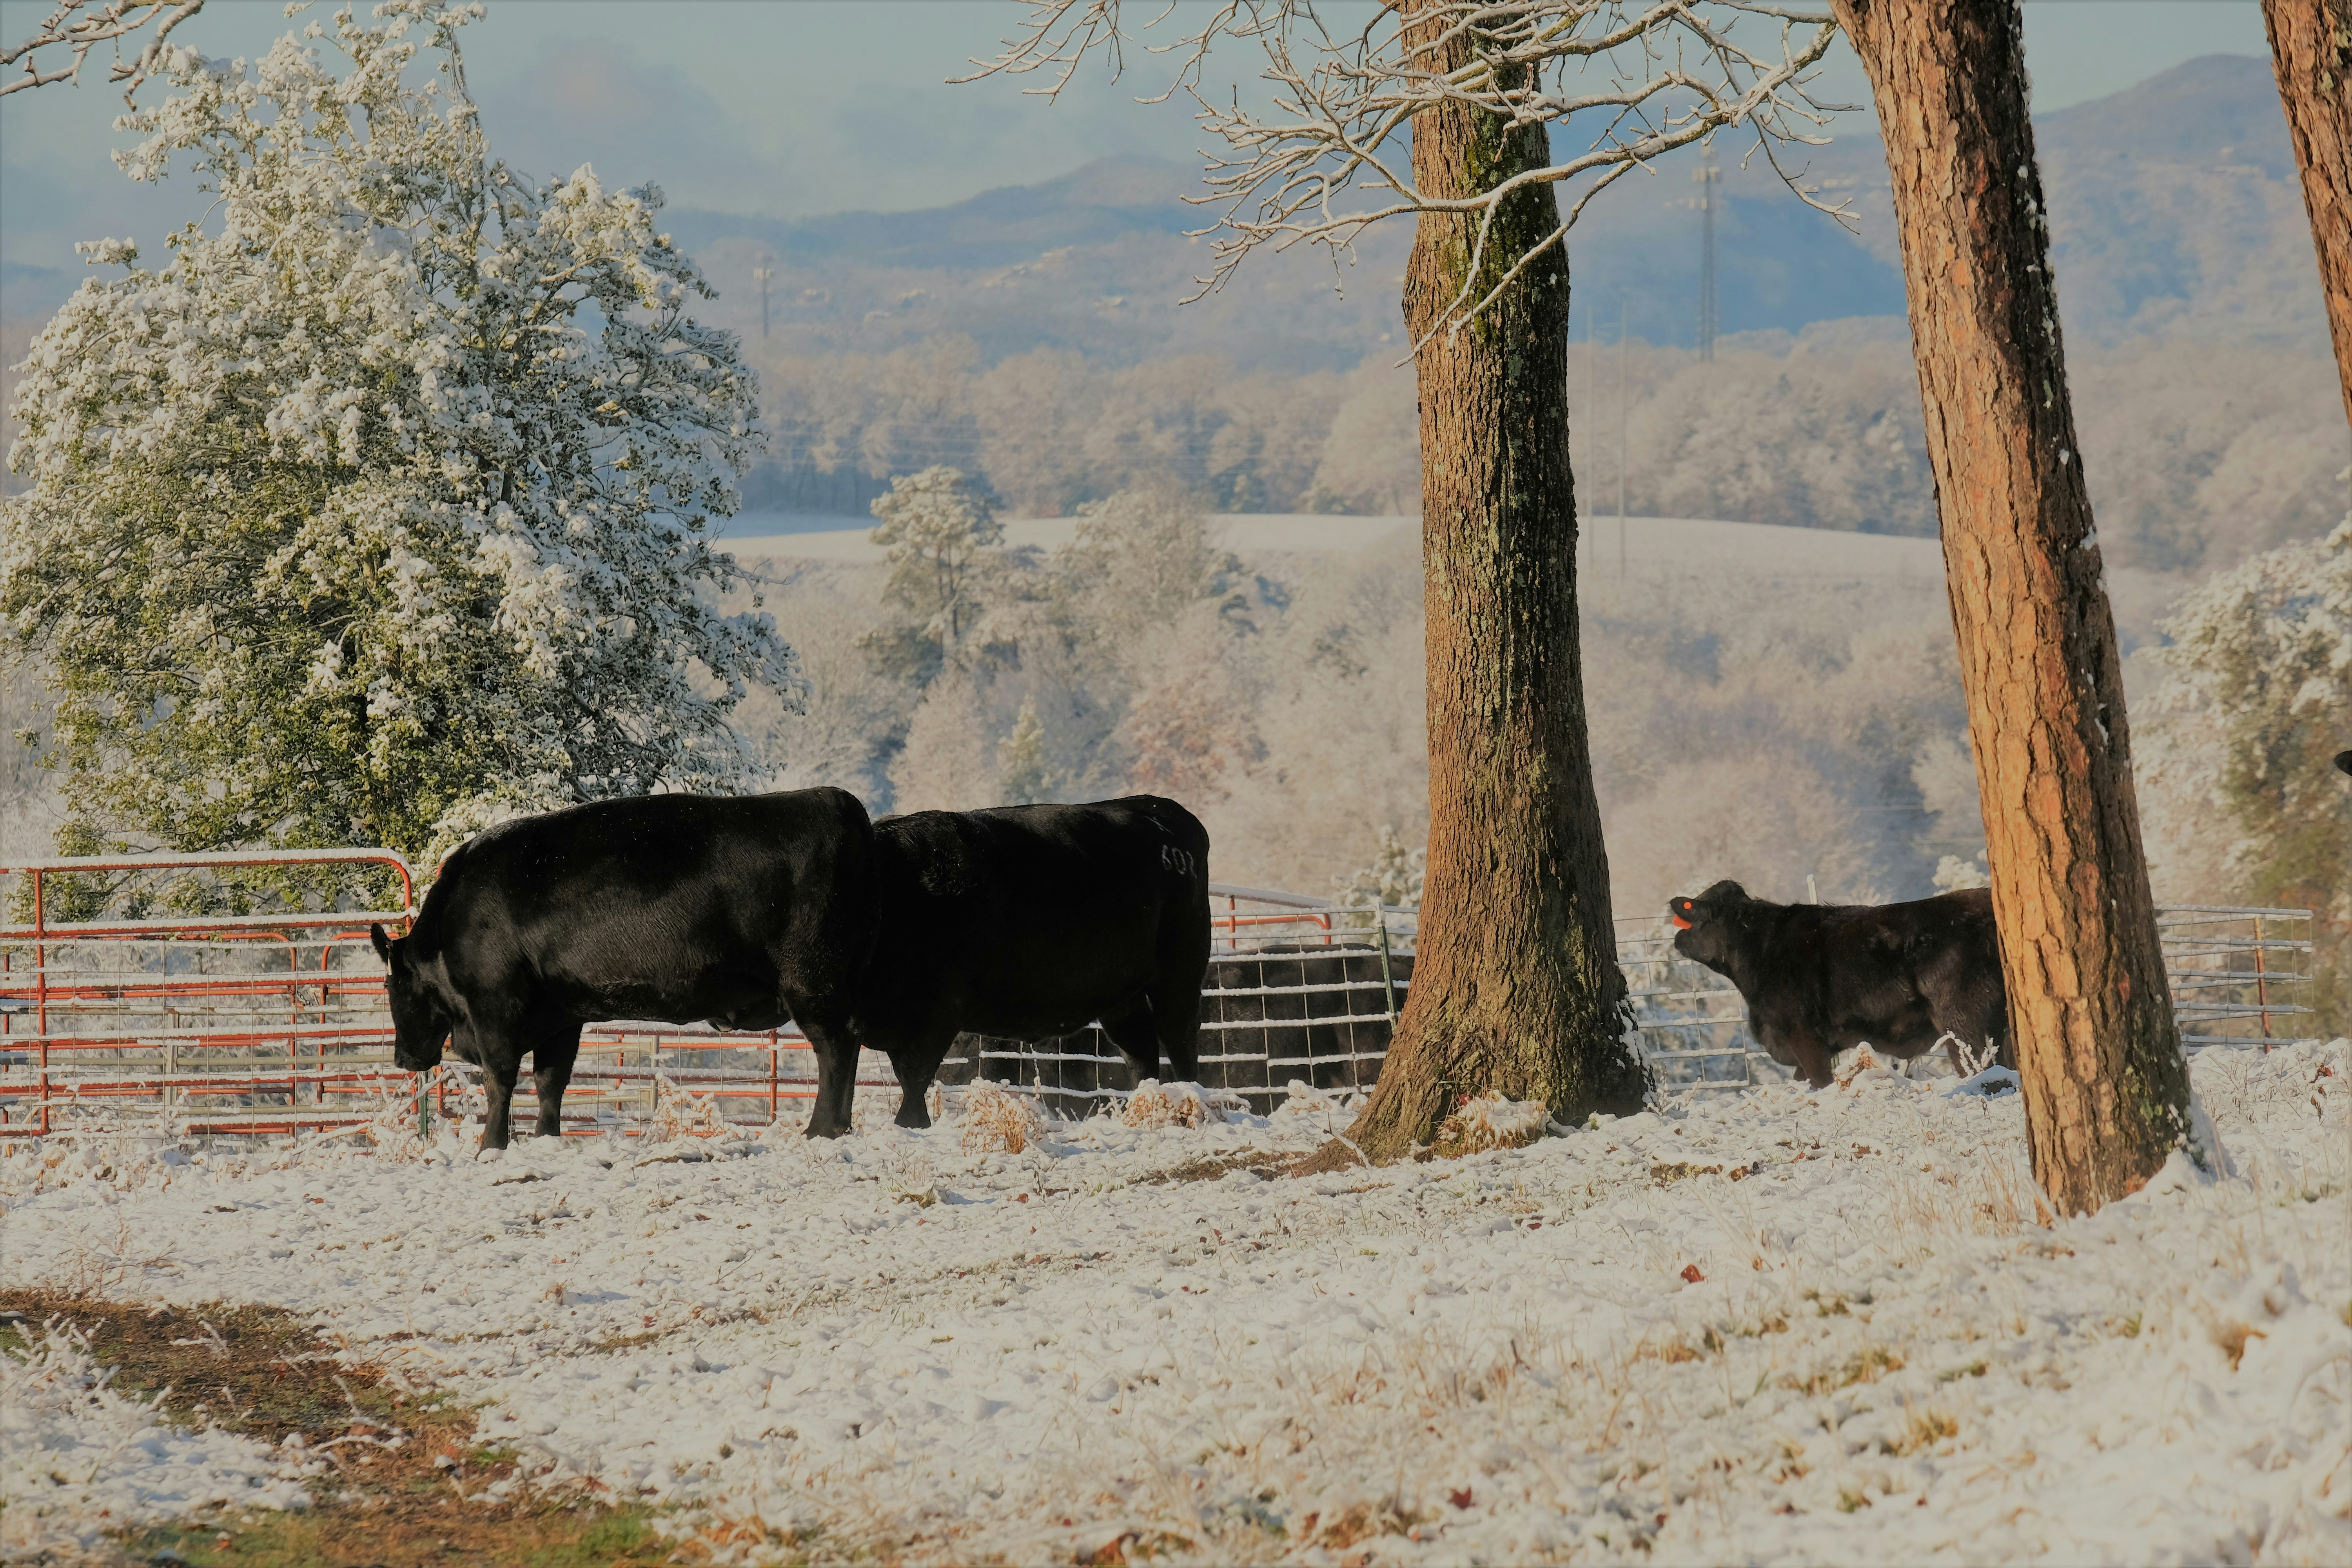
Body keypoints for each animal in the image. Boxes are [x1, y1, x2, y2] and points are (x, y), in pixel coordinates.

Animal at [370, 789, 877, 1149]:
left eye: (393, 986)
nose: (402, 1059)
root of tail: (836, 800)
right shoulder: (560, 1016)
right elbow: (551, 1080)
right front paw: (546, 1140)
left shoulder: (494, 1006)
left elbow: (501, 1078)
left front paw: (490, 1147)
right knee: (848, 1044)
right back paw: (839, 1128)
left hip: (810, 980)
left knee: (835, 1045)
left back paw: (822, 1130)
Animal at [847, 796, 1212, 1130]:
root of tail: (1160, 808)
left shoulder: (938, 1013)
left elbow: (914, 1076)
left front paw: (910, 1126)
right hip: (1123, 995)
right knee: (1140, 1048)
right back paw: (1144, 1106)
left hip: (1179, 974)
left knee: (1179, 1037)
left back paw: (1188, 1102)